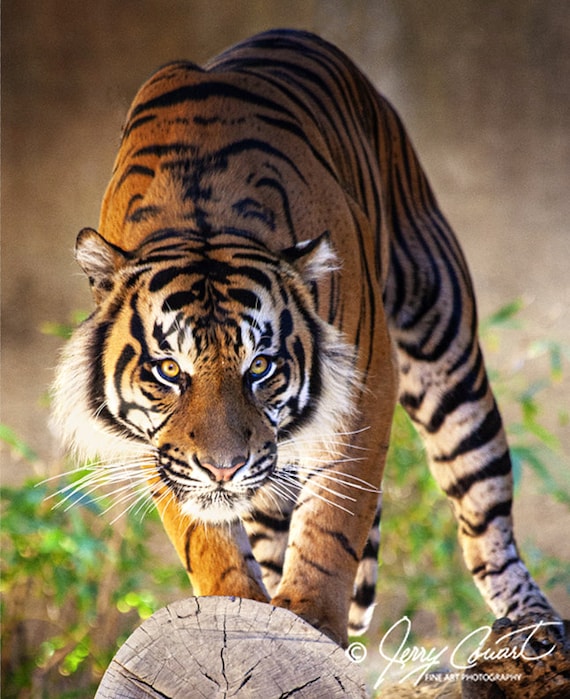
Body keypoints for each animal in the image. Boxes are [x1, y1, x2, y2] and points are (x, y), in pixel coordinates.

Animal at [52, 28, 557, 647]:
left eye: (260, 366)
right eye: (169, 370)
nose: (224, 468)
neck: (201, 220)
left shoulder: (366, 383)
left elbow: (332, 525)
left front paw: (311, 619)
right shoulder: (158, 444)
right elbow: (206, 538)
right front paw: (239, 612)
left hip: (442, 347)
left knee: (486, 514)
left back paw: (532, 628)